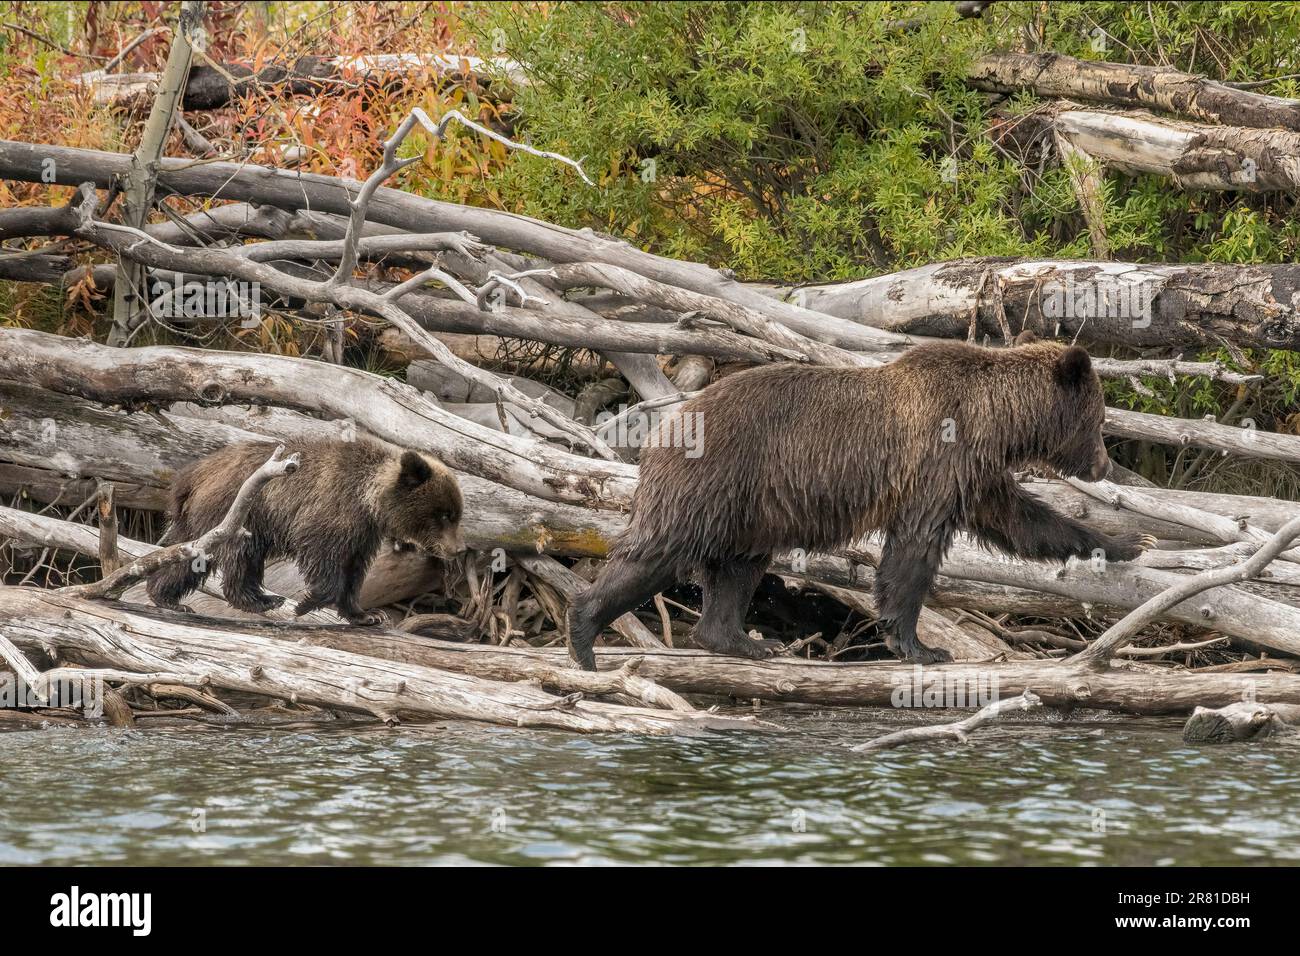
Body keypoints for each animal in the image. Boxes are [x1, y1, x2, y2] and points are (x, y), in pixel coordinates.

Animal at [146, 438, 465, 624]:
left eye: (456, 514)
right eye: (444, 514)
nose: (457, 549)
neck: (369, 501)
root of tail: (192, 473)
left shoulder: (363, 532)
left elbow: (354, 569)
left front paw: (366, 614)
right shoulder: (331, 510)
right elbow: (323, 555)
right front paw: (305, 603)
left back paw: (166, 595)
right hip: (236, 512)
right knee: (231, 555)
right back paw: (254, 599)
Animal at [567, 334, 1154, 670]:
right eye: (1100, 419)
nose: (1103, 466)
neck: (998, 420)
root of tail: (669, 420)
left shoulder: (976, 470)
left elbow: (1022, 521)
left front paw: (1128, 541)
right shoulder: (939, 459)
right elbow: (914, 552)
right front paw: (920, 645)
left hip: (751, 510)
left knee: (737, 569)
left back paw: (743, 641)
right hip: (715, 478)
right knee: (659, 549)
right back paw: (584, 630)